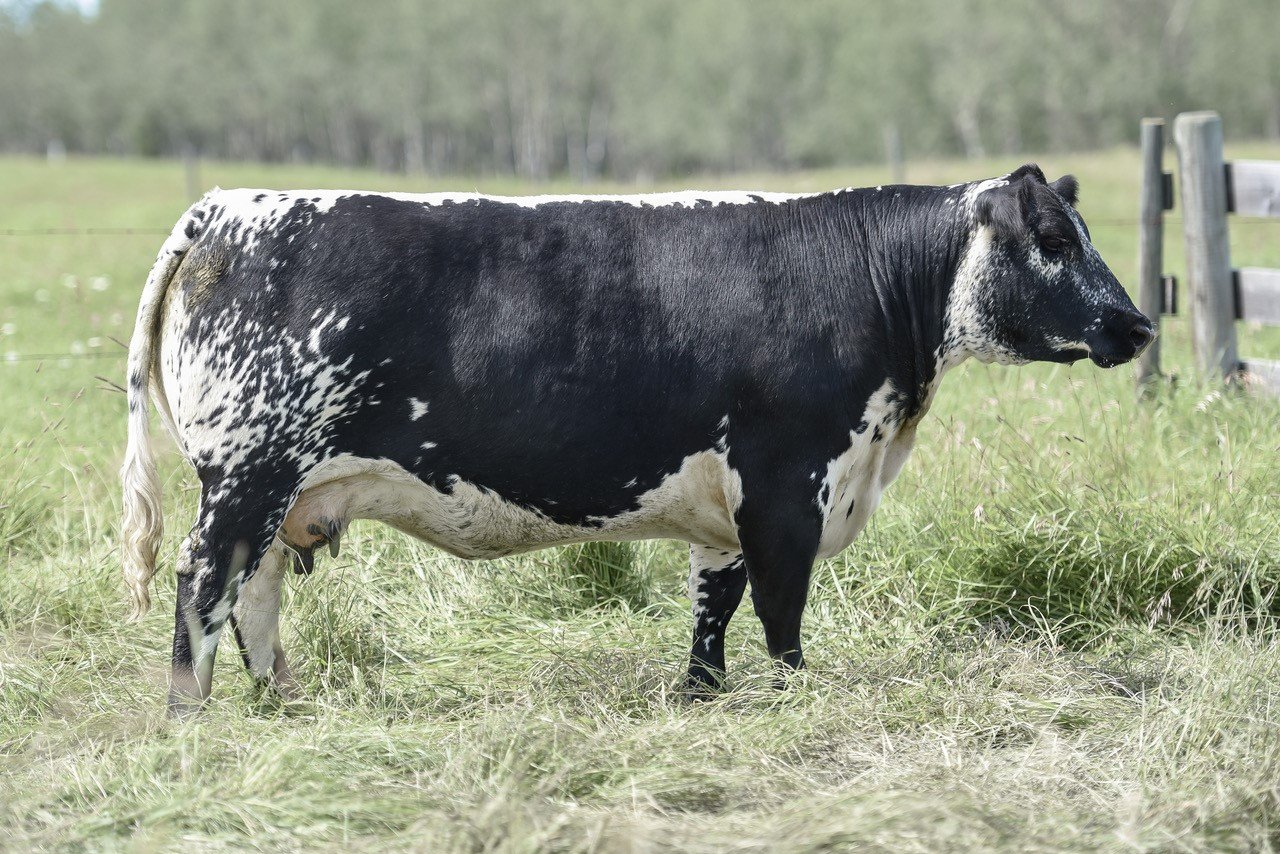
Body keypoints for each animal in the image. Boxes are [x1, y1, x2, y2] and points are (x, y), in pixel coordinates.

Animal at [120, 164, 1153, 712]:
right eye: (1053, 240)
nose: (1138, 325)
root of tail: (229, 204)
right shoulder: (787, 481)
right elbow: (782, 608)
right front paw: (793, 698)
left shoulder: (724, 506)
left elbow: (714, 607)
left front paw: (701, 696)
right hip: (247, 471)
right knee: (204, 582)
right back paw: (190, 716)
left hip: (277, 485)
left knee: (252, 593)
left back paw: (281, 703)